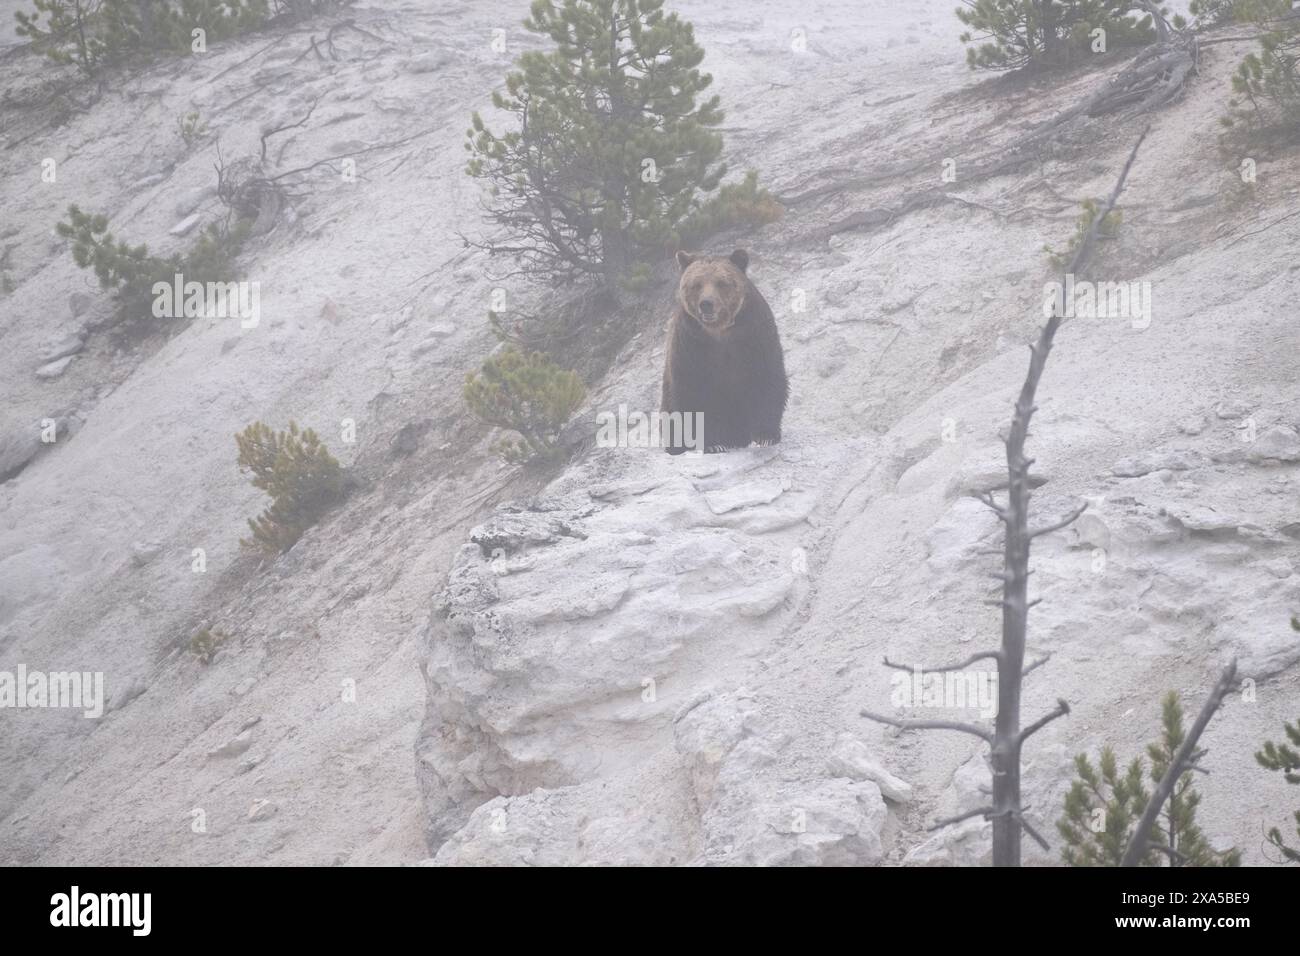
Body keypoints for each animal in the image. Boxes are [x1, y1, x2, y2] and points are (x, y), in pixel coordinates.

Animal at [660, 248, 788, 454]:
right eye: (696, 284)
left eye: (721, 282)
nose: (706, 303)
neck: (720, 332)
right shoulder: (690, 345)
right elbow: (694, 393)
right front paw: (714, 444)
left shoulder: (755, 335)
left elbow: (766, 378)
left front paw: (766, 436)